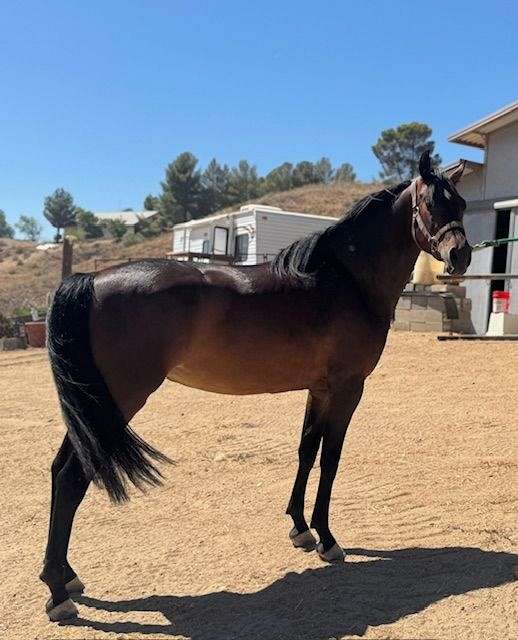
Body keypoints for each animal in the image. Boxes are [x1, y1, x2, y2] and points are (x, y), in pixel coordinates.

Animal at [40, 151, 471, 621]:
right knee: (72, 477)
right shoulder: (347, 389)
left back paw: (65, 578)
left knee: (62, 471)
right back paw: (59, 595)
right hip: (117, 399)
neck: (344, 282)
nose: (461, 255)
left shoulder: (319, 389)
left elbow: (306, 451)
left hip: (95, 407)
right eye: (430, 204)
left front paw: (300, 529)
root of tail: (89, 280)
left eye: (462, 204)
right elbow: (331, 459)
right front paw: (328, 539)